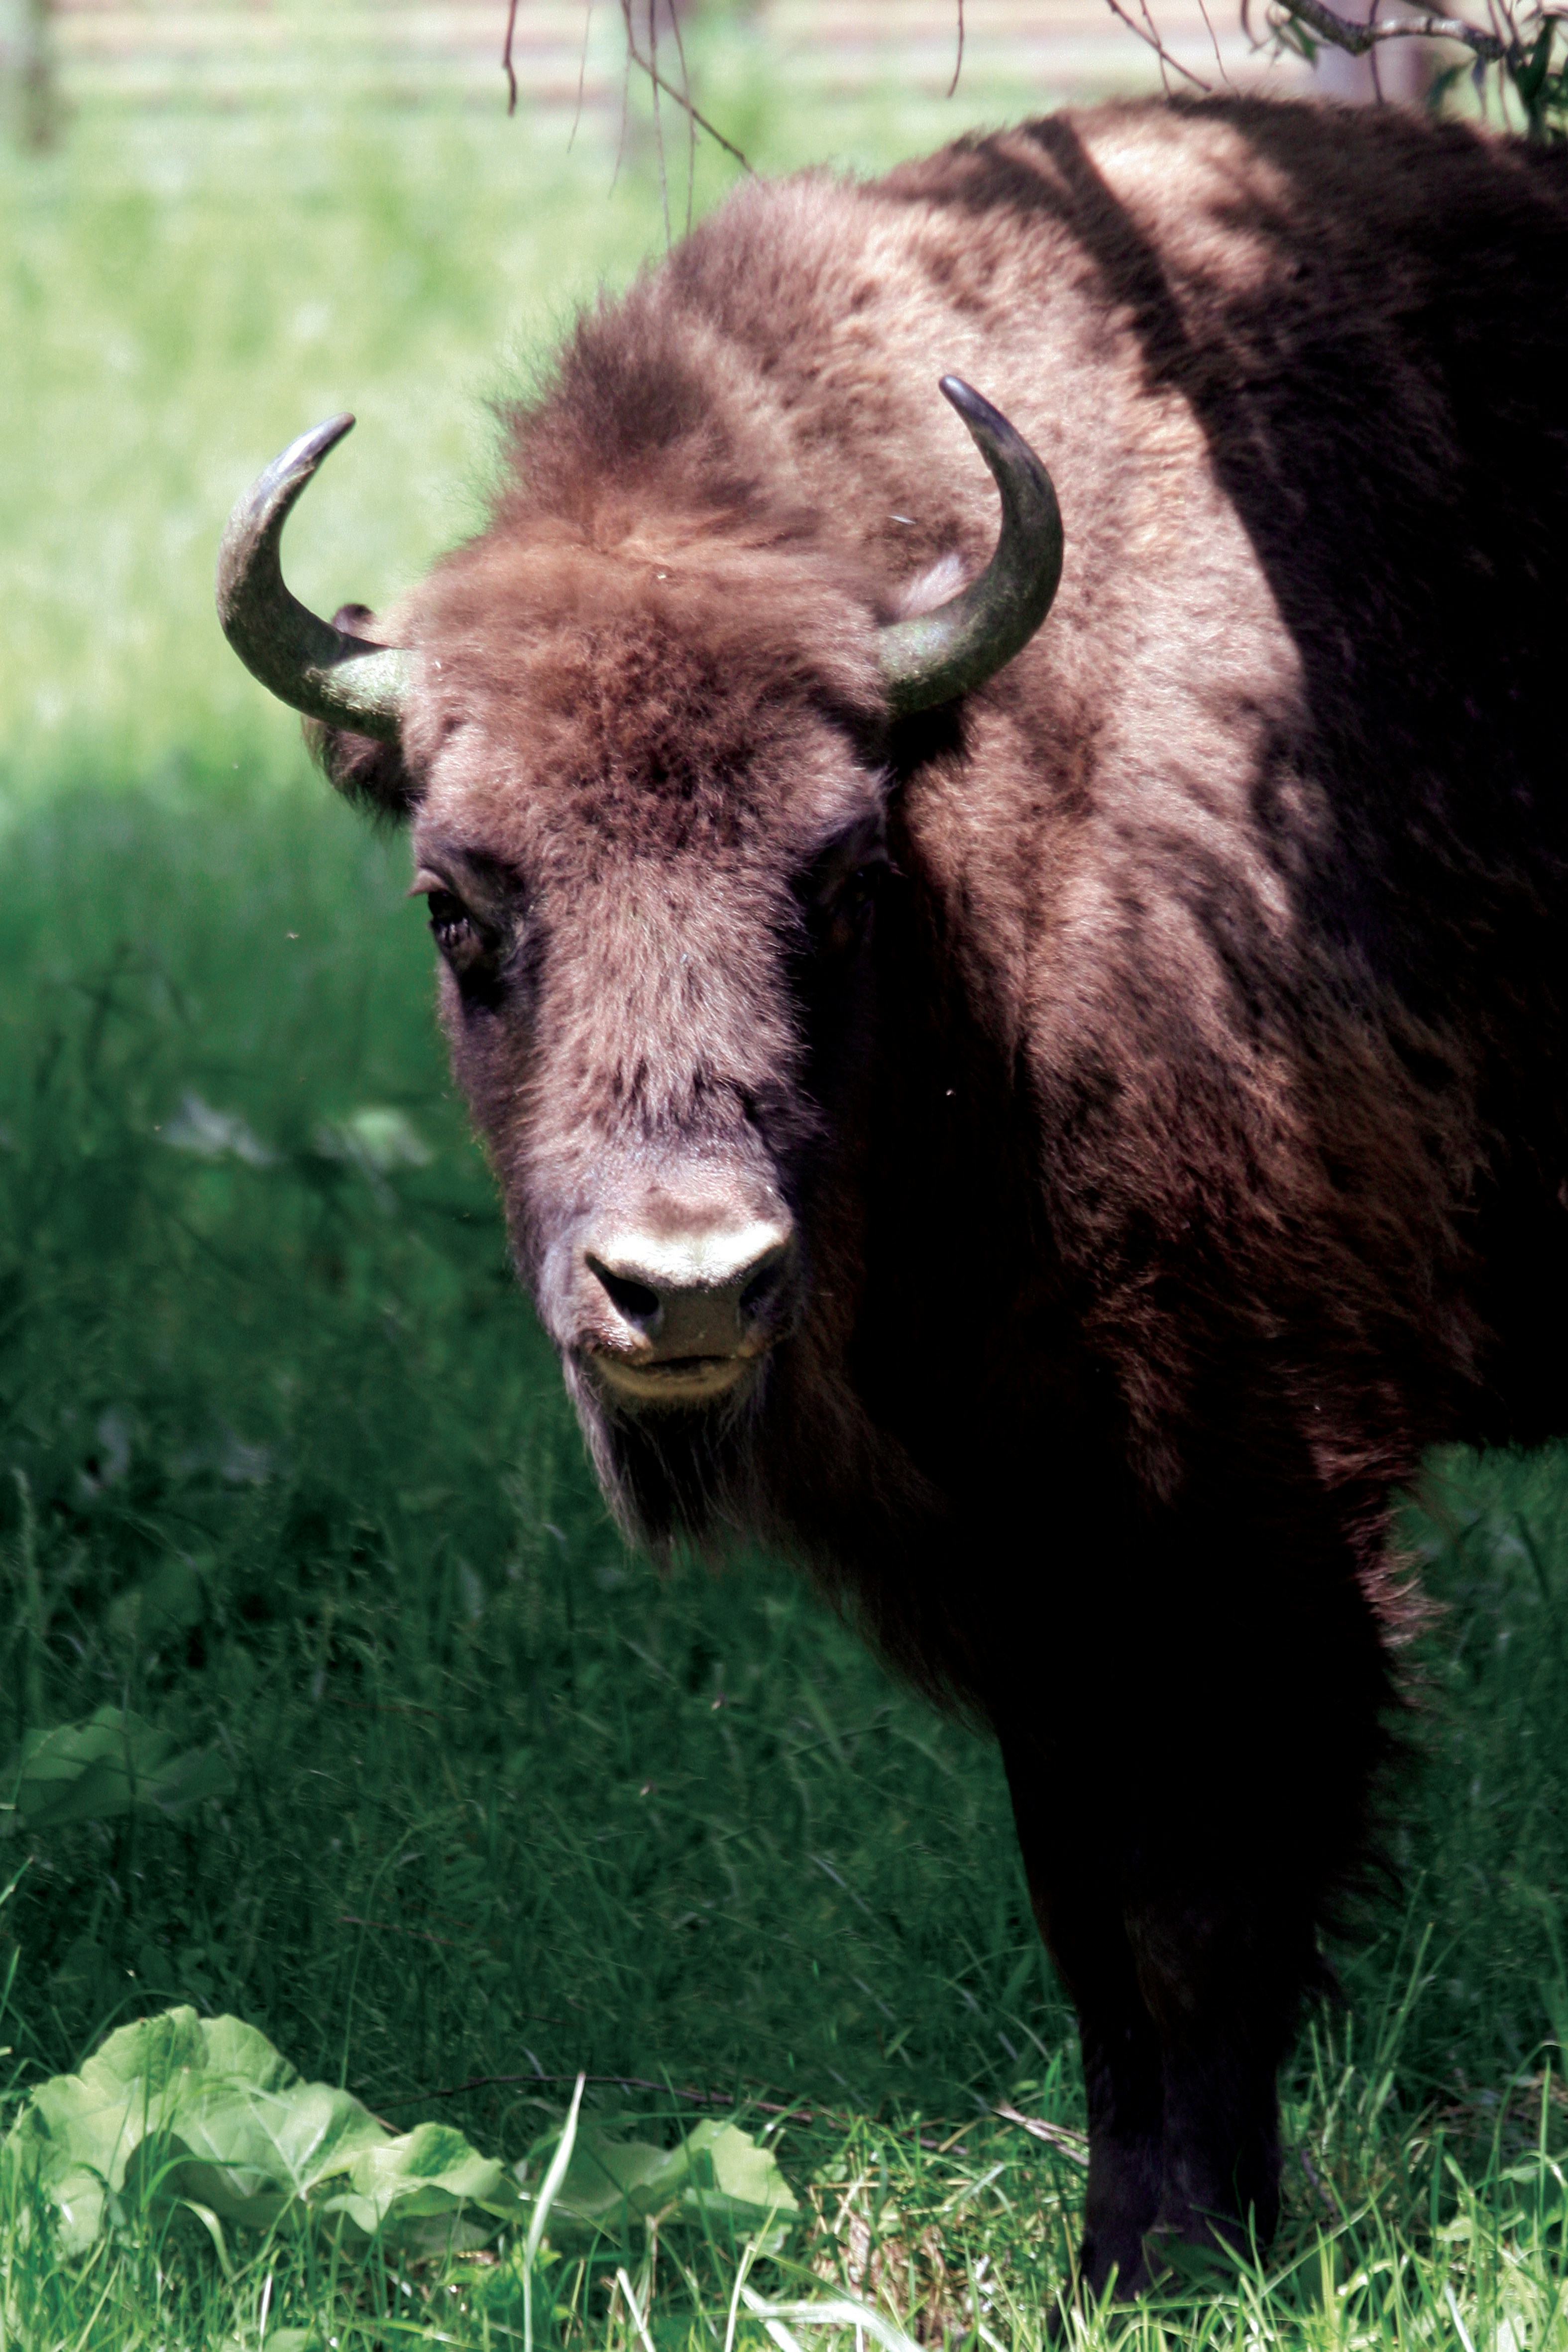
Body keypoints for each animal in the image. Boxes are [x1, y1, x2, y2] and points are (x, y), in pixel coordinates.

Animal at [216, 95, 1568, 2301]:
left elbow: (1200, 1889)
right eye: (454, 896)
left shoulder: (1238, 1487)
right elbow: (1091, 1902)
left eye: (841, 874)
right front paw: (1126, 2243)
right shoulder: (1030, 1532)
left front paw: (1184, 2253)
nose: (682, 1281)